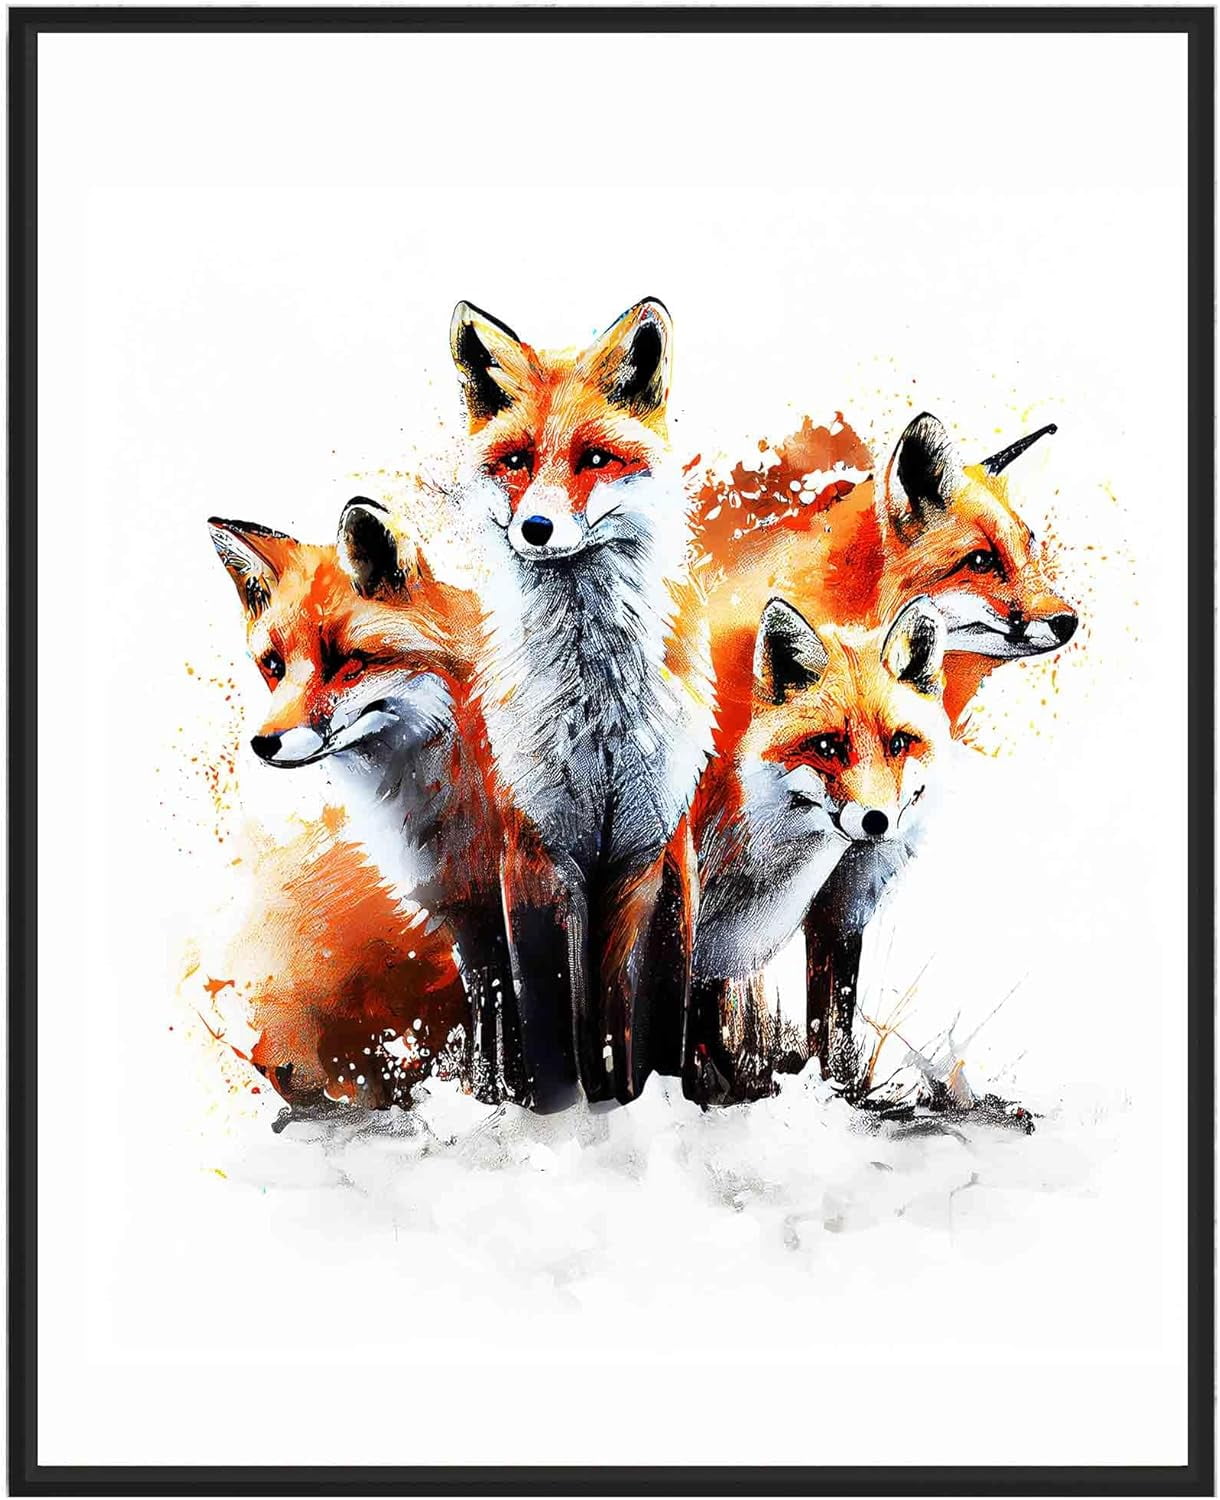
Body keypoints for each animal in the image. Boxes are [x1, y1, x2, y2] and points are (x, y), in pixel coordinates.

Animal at [209, 500, 526, 1104]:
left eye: (344, 662)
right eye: (273, 666)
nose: (264, 744)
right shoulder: (468, 913)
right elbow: (492, 1020)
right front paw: (490, 1096)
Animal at [450, 297, 714, 1109]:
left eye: (594, 459)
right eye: (516, 461)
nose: (536, 529)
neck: (597, 712)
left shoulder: (646, 859)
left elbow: (642, 1030)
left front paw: (642, 1111)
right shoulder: (540, 856)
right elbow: (552, 1035)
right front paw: (565, 1119)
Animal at [690, 595, 950, 1101]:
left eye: (898, 743)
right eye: (828, 746)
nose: (876, 821)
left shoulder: (839, 913)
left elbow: (830, 1017)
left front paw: (833, 1085)